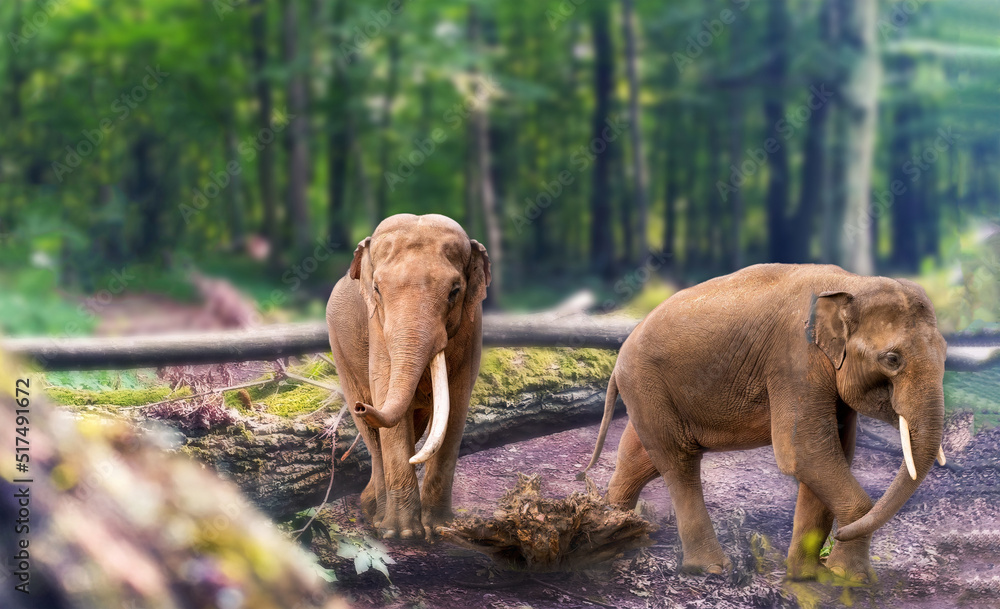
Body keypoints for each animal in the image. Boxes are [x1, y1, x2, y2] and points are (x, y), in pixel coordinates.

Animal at [326, 214, 490, 541]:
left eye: (455, 291)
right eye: (377, 289)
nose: (362, 407)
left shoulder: (472, 327)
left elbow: (456, 407)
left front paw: (440, 529)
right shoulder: (377, 327)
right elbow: (386, 397)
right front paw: (401, 534)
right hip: (340, 350)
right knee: (374, 435)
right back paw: (375, 516)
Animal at [583, 263, 947, 582]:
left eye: (946, 353)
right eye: (892, 359)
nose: (839, 536)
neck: (851, 282)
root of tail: (618, 357)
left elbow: (832, 454)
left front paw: (808, 577)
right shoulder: (794, 358)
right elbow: (803, 452)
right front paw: (851, 580)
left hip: (648, 393)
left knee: (640, 458)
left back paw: (612, 535)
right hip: (646, 383)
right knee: (679, 460)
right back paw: (710, 568)